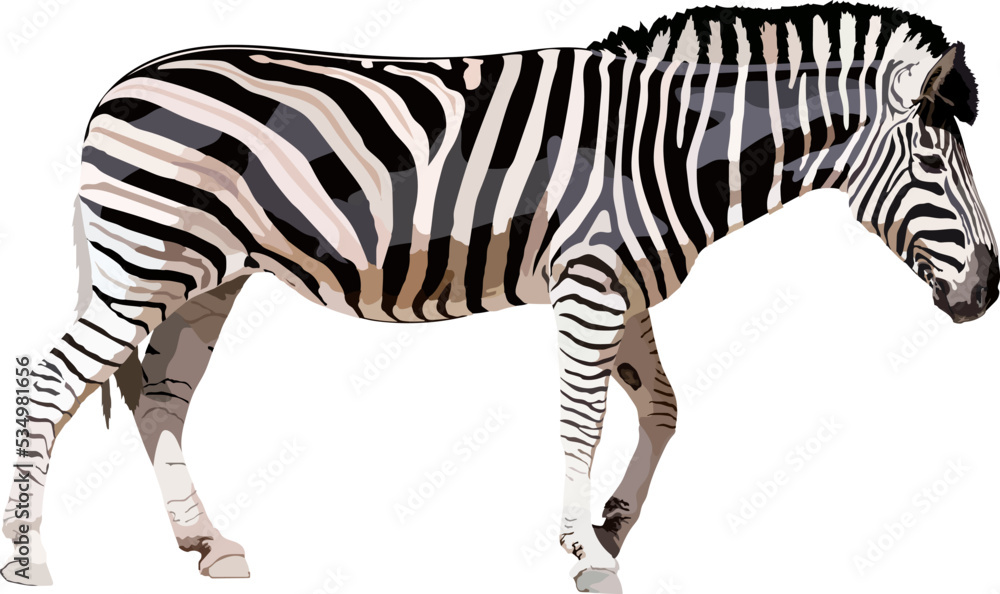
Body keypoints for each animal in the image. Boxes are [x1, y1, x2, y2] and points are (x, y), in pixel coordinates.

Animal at [3, 2, 997, 591]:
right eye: (931, 159)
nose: (988, 291)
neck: (672, 142)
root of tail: (118, 84)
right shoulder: (592, 283)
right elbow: (582, 420)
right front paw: (584, 553)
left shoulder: (625, 284)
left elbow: (666, 408)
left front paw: (613, 527)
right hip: (143, 263)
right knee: (50, 387)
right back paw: (37, 563)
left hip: (201, 276)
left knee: (159, 397)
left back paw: (208, 543)